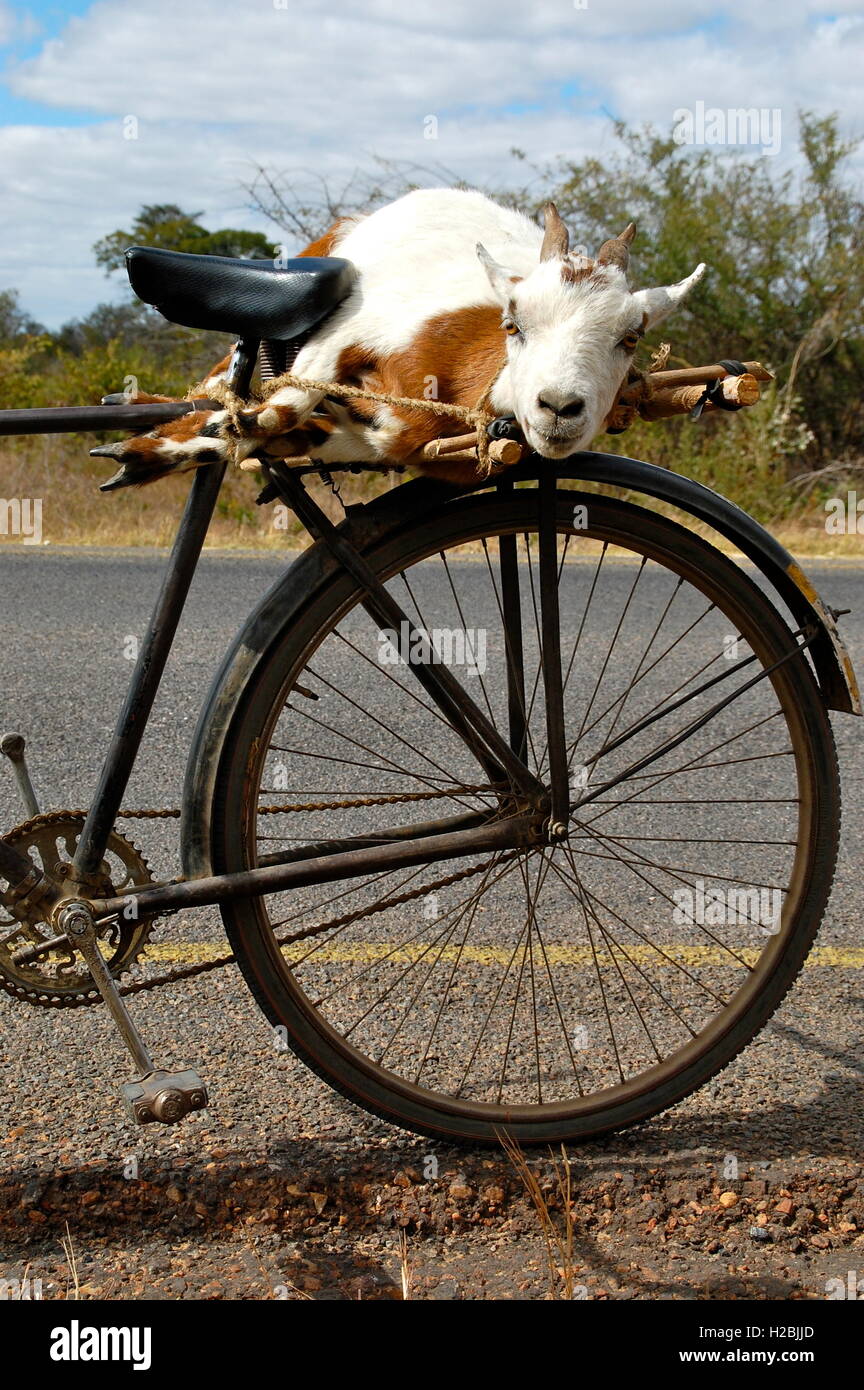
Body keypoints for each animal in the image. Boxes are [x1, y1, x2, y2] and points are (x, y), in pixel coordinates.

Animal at [93, 188, 705, 487]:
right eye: (513, 324)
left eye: (631, 338)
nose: (558, 407)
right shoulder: (345, 333)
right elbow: (283, 405)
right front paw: (167, 444)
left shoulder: (398, 442)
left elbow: (318, 433)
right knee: (222, 379)